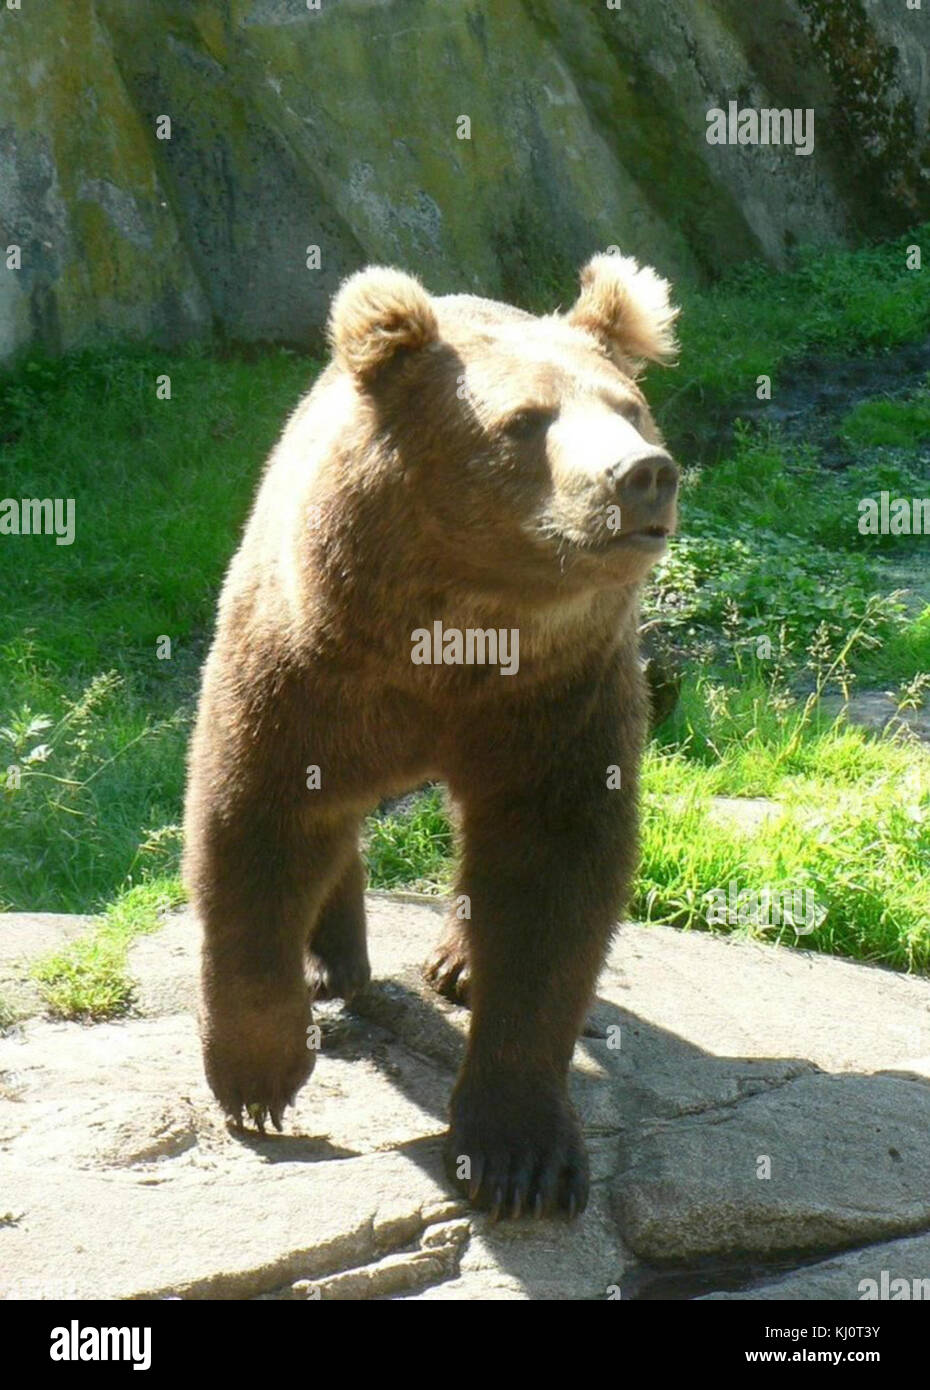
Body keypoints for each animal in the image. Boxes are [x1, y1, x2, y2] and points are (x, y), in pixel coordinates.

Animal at [183, 252, 679, 1220]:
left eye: (629, 406)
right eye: (524, 420)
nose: (643, 473)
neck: (459, 638)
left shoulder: (554, 702)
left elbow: (548, 877)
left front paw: (519, 1156)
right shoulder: (308, 668)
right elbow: (256, 827)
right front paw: (258, 1080)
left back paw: (454, 963)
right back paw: (333, 960)